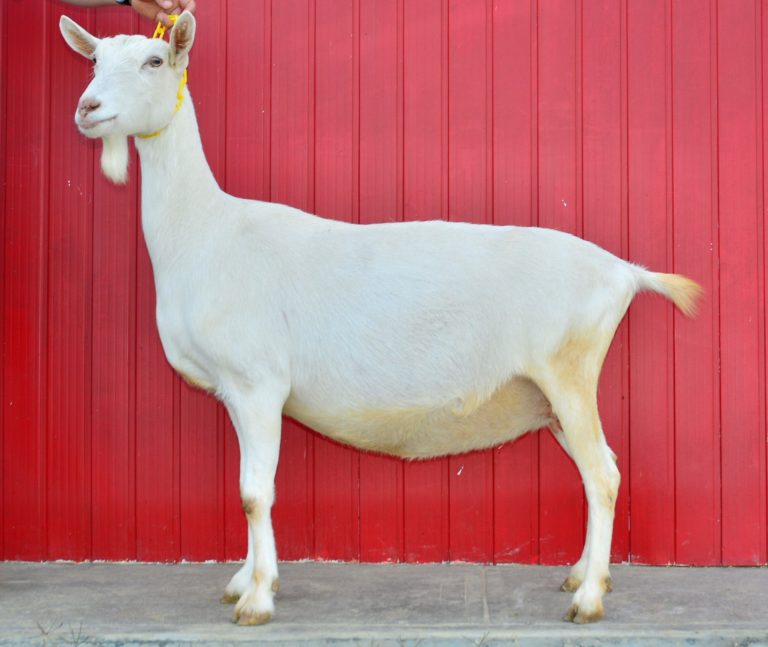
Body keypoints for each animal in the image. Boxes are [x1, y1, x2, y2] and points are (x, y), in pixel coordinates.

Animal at [60, 12, 702, 626]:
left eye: (154, 60)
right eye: (93, 60)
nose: (88, 109)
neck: (208, 233)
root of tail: (622, 270)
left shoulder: (258, 381)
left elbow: (253, 493)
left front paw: (257, 601)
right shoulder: (236, 392)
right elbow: (249, 488)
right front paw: (245, 581)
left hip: (569, 372)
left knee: (602, 477)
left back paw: (588, 601)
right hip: (552, 398)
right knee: (605, 467)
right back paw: (583, 575)